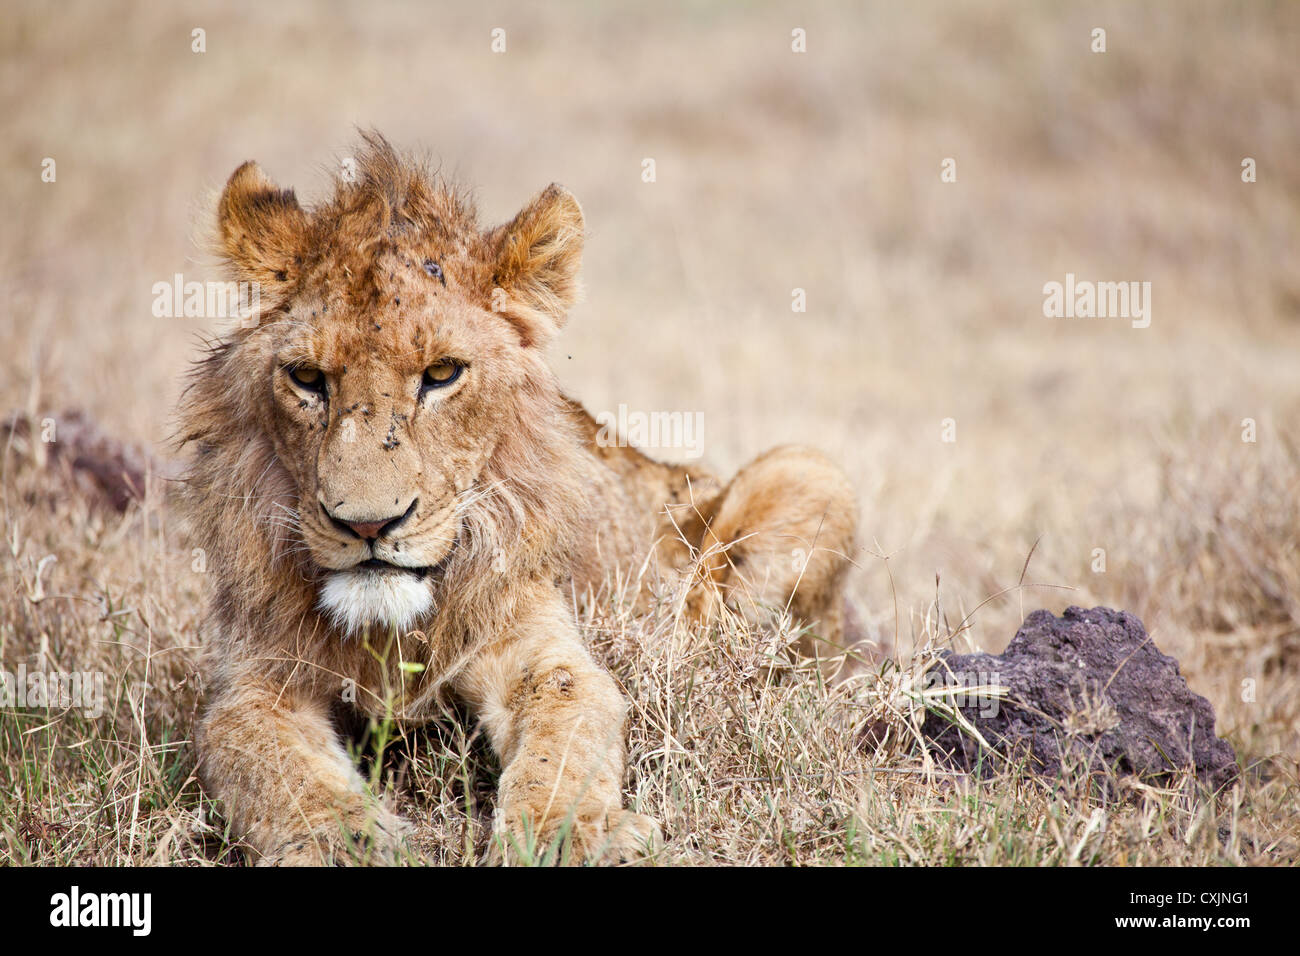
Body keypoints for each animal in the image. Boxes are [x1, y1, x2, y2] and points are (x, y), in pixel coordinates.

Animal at [178, 132, 858, 865]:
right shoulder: (257, 681)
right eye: (307, 379)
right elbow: (256, 752)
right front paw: (344, 843)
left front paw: (563, 838)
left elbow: (570, 714)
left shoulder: (537, 641)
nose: (368, 525)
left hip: (808, 471)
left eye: (441, 373)